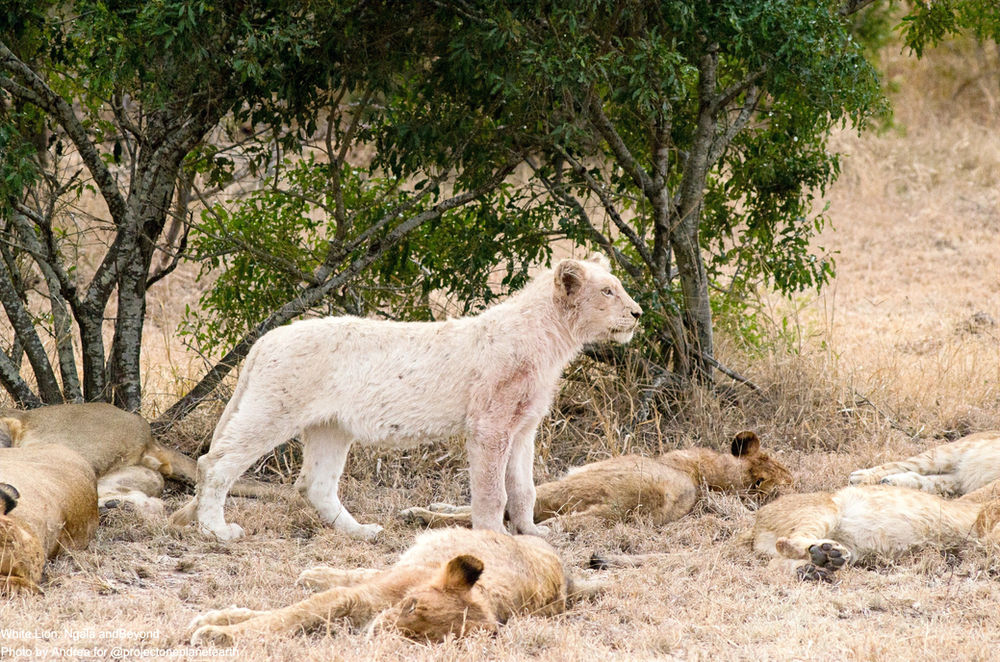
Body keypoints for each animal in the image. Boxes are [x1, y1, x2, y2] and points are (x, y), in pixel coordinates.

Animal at [172, 254, 643, 541]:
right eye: (608, 292)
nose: (638, 313)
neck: (555, 339)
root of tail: (265, 339)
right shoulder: (489, 426)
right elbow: (493, 491)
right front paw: (494, 537)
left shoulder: (523, 427)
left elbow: (524, 488)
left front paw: (533, 533)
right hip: (272, 412)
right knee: (214, 463)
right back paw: (217, 531)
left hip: (330, 428)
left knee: (314, 485)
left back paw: (362, 532)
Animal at [188, 528, 601, 644]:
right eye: (412, 605)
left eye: (419, 638)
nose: (377, 631)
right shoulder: (357, 597)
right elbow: (286, 615)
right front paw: (216, 629)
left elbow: (288, 617)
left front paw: (217, 626)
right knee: (362, 573)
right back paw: (313, 573)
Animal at [745, 479, 1000, 581]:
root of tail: (756, 521)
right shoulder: (985, 519)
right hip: (827, 506)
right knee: (786, 542)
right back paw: (827, 555)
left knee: (774, 563)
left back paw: (814, 570)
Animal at [848, 430, 1000, 496]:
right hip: (945, 454)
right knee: (901, 465)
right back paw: (860, 478)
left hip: (957, 480)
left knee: (925, 480)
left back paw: (889, 481)